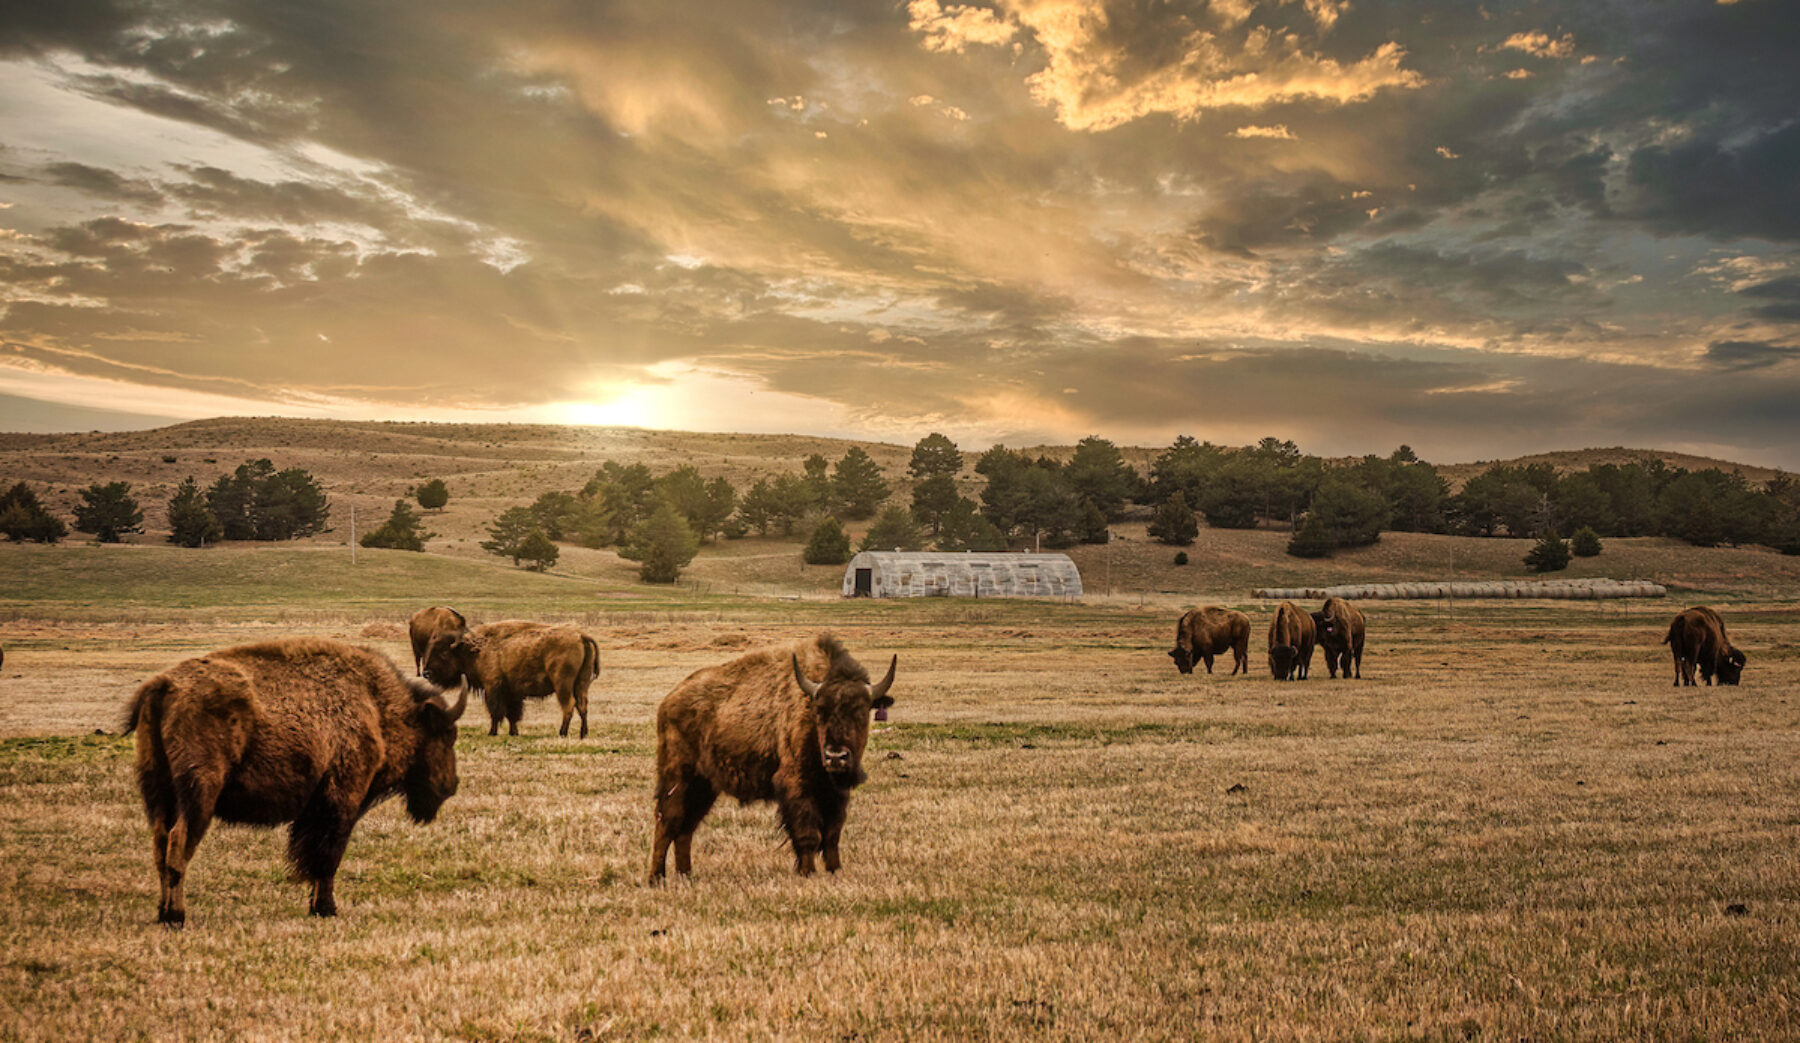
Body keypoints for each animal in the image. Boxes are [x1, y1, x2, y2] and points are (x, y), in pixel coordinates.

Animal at [124, 638, 466, 924]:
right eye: (446, 735)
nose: (451, 786)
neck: (377, 704)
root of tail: (163, 686)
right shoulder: (342, 799)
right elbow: (327, 858)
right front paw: (326, 909)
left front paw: (316, 907)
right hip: (199, 792)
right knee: (178, 843)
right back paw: (176, 916)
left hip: (159, 792)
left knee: (160, 845)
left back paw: (163, 912)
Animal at [423, 621, 600, 737]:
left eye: (444, 653)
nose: (426, 673)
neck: (474, 649)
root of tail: (581, 636)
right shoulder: (512, 693)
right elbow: (512, 714)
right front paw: (513, 732)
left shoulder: (492, 687)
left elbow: (496, 712)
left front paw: (492, 732)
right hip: (581, 684)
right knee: (582, 706)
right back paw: (583, 733)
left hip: (563, 684)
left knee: (569, 705)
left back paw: (562, 732)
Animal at [650, 633, 896, 880]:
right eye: (819, 710)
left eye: (861, 712)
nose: (835, 757)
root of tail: (667, 702)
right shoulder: (797, 785)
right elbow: (808, 834)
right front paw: (808, 872)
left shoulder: (835, 793)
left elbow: (832, 836)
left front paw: (834, 871)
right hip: (678, 779)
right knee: (667, 823)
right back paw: (657, 878)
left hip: (704, 787)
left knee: (685, 829)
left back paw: (685, 875)